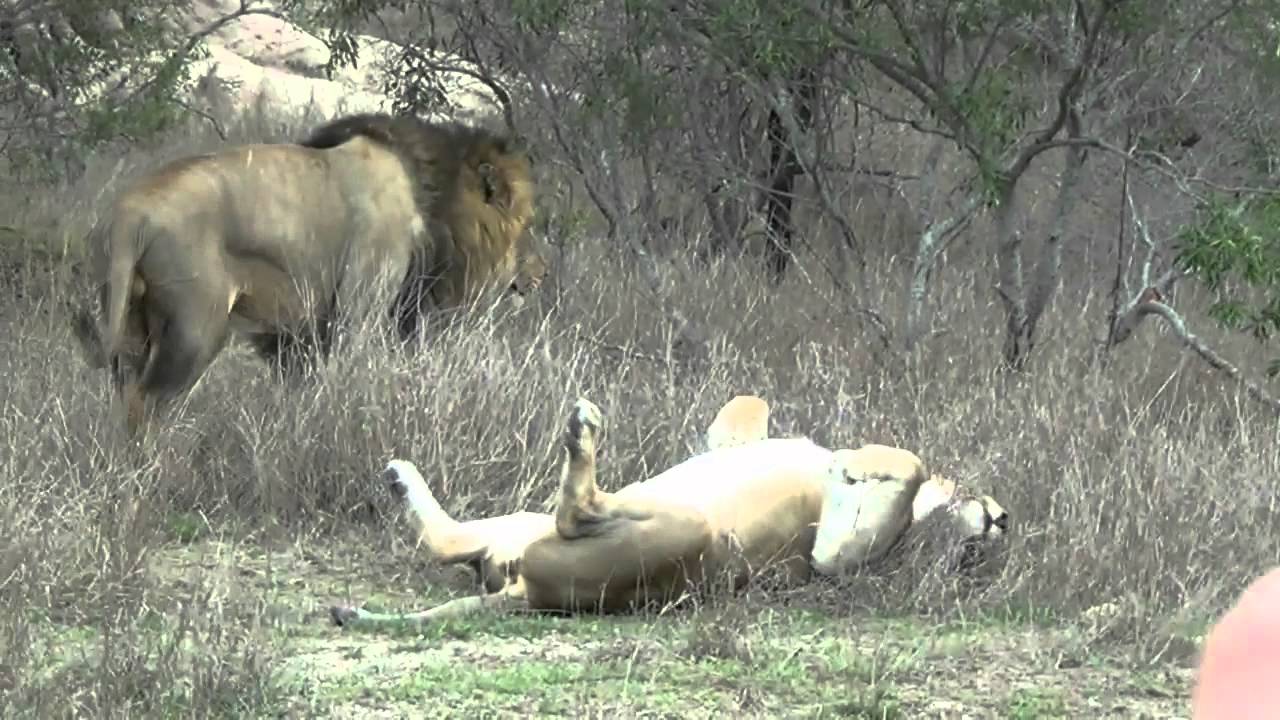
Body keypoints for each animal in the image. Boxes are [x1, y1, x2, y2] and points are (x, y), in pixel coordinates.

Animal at [71, 114, 539, 439]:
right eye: (525, 224)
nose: (539, 274)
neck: (432, 202)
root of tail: (129, 213)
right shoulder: (360, 309)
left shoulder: (295, 337)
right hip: (196, 328)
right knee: (148, 404)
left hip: (130, 323)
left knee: (126, 394)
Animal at [329, 396, 931, 626]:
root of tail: (527, 595)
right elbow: (747, 407)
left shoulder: (828, 554)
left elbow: (914, 467)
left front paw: (861, 462)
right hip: (525, 523)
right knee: (447, 540)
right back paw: (401, 478)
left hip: (687, 528)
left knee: (578, 509)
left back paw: (583, 433)